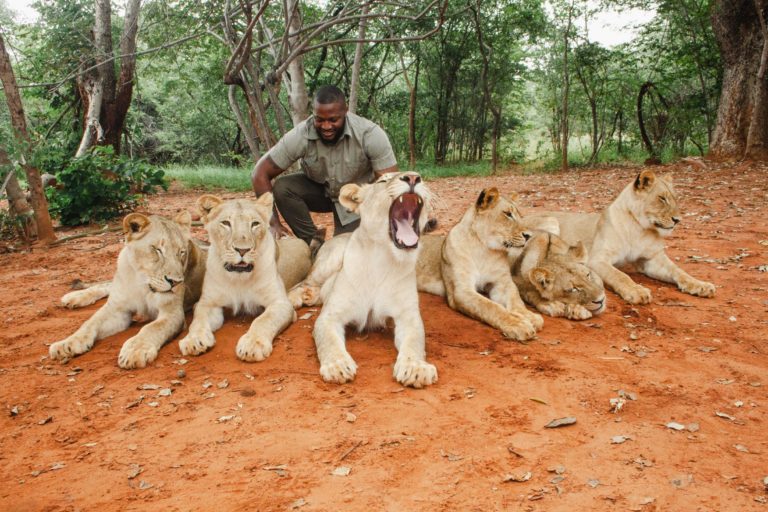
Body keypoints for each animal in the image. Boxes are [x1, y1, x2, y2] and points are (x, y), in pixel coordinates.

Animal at [48, 211, 206, 369]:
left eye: (182, 252)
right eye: (157, 250)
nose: (176, 282)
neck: (142, 283)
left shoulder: (173, 313)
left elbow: (151, 328)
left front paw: (135, 350)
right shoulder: (117, 309)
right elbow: (91, 322)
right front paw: (67, 343)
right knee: (107, 284)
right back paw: (75, 297)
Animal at [306, 171, 437, 388]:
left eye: (420, 177)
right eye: (383, 180)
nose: (412, 177)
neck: (381, 259)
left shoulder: (408, 316)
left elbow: (415, 342)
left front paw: (416, 368)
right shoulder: (330, 316)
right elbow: (328, 341)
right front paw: (337, 366)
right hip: (330, 259)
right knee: (302, 283)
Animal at [529, 170, 716, 304]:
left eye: (675, 199)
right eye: (662, 198)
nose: (678, 220)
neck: (641, 229)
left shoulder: (652, 259)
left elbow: (679, 271)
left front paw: (701, 285)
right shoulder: (597, 259)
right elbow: (620, 275)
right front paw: (637, 291)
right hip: (551, 221)